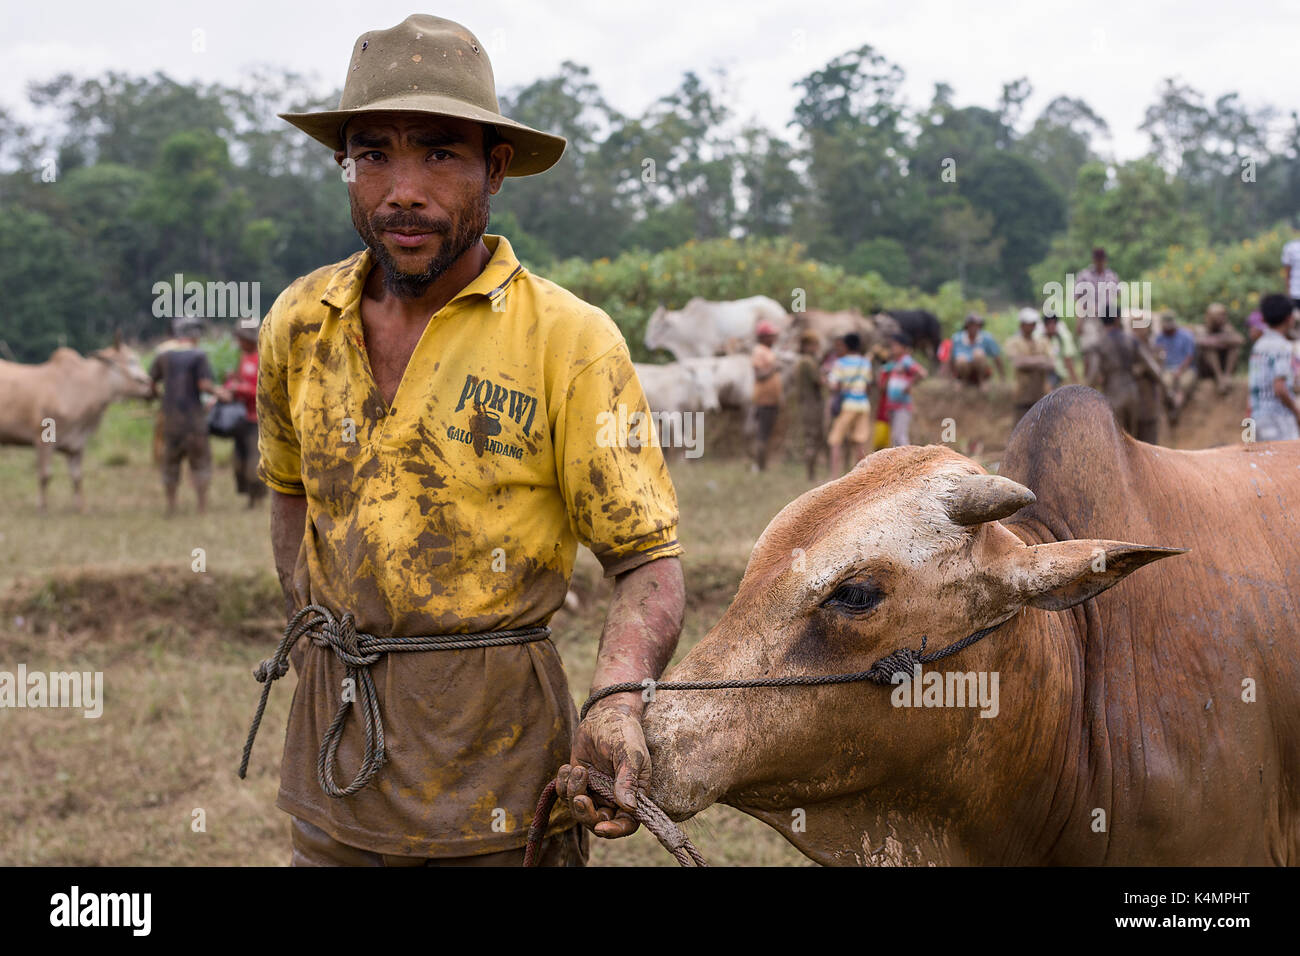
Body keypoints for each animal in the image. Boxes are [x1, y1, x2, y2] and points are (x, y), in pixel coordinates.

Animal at [0, 343, 153, 510]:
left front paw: (80, 507)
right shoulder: (42, 441)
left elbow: (77, 476)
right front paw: (42, 506)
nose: (150, 385)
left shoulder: (77, 444)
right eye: (131, 361)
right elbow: (45, 475)